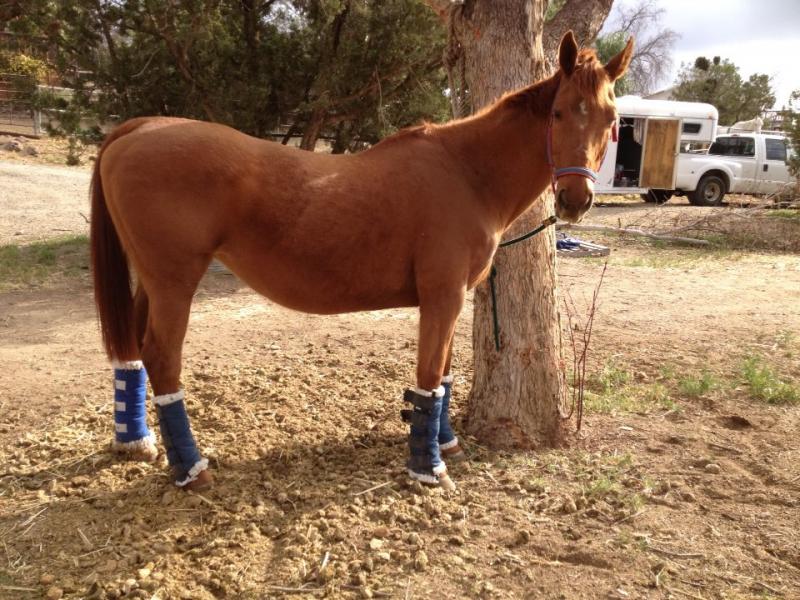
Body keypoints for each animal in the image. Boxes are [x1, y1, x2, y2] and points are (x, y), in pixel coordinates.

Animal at [91, 31, 633, 491]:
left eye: (611, 121)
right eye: (558, 113)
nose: (575, 199)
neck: (466, 172)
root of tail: (142, 127)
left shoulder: (452, 298)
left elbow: (443, 376)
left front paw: (446, 444)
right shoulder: (442, 296)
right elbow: (429, 377)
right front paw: (427, 467)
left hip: (152, 281)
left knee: (133, 349)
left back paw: (138, 441)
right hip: (174, 282)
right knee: (163, 356)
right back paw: (191, 468)